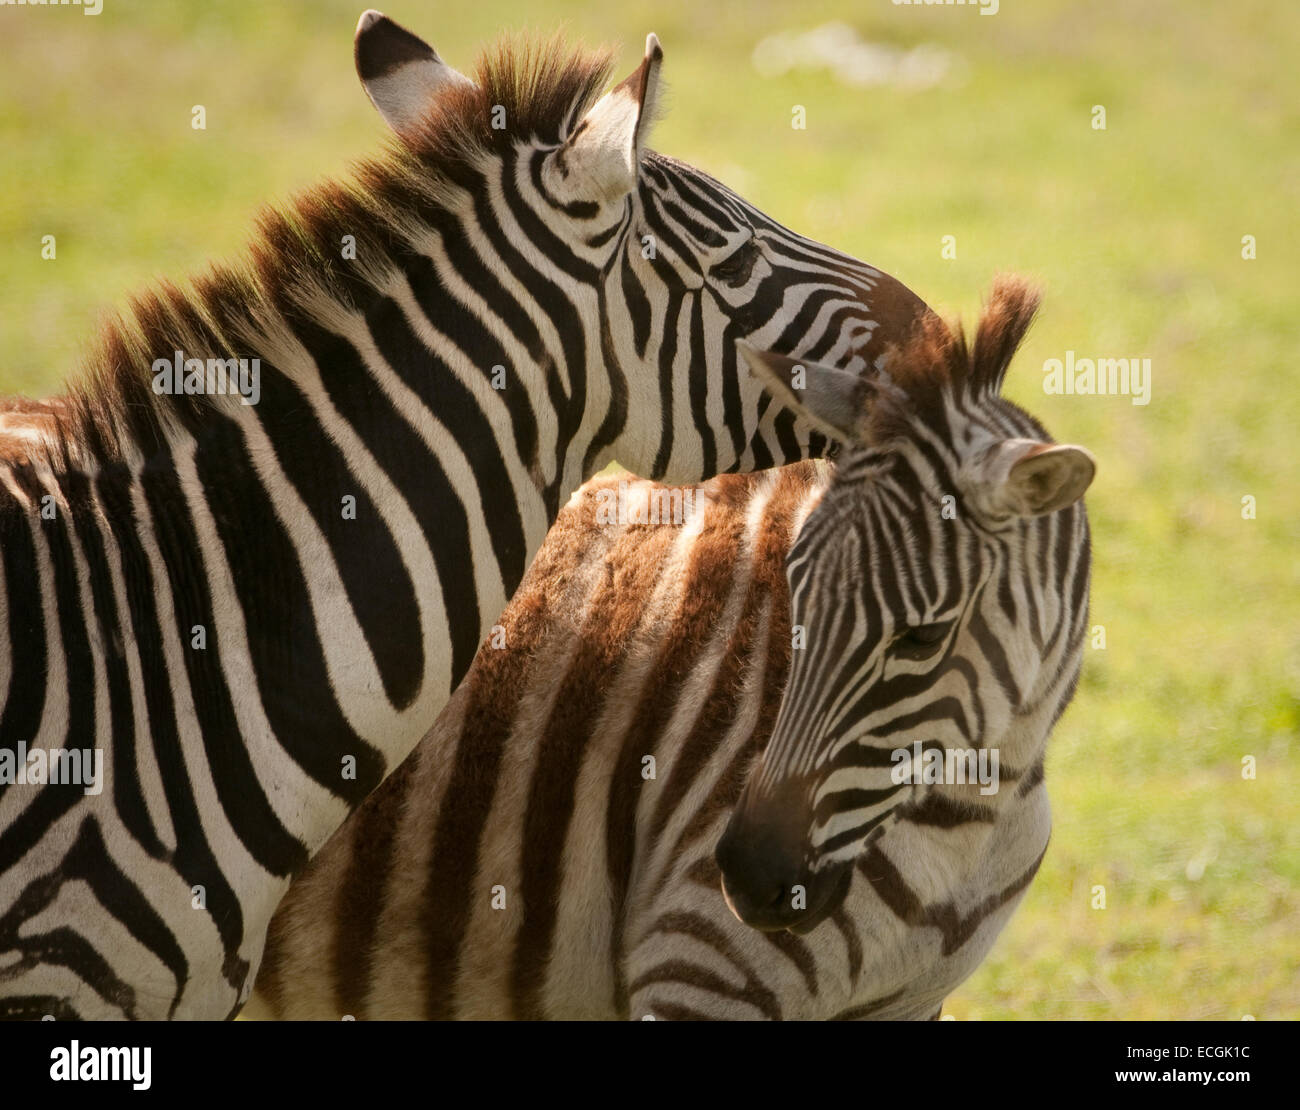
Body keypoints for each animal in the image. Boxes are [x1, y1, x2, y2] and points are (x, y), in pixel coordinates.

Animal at [246, 276, 1094, 1020]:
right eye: (793, 601)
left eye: (923, 636)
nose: (749, 875)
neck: (975, 812)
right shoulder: (699, 970)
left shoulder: (905, 1003)